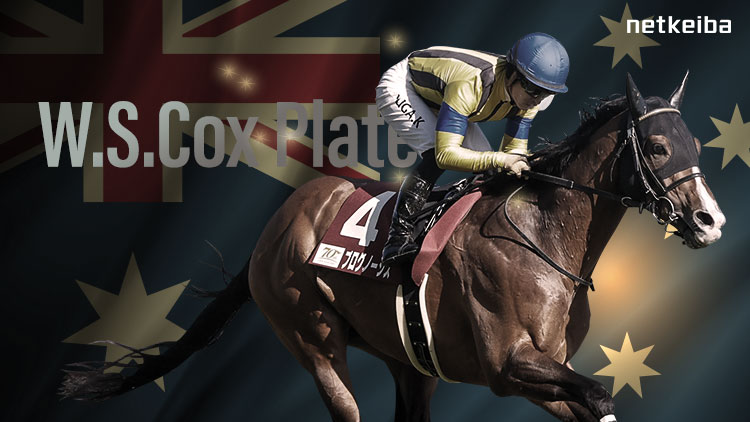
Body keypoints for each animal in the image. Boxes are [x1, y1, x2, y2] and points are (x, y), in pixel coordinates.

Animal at [61, 73, 725, 422]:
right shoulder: (509, 367)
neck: (542, 237)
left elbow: (590, 397)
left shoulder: (543, 373)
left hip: (407, 361)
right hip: (312, 337)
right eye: (658, 148)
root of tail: (274, 227)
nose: (711, 221)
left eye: (695, 143)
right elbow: (597, 391)